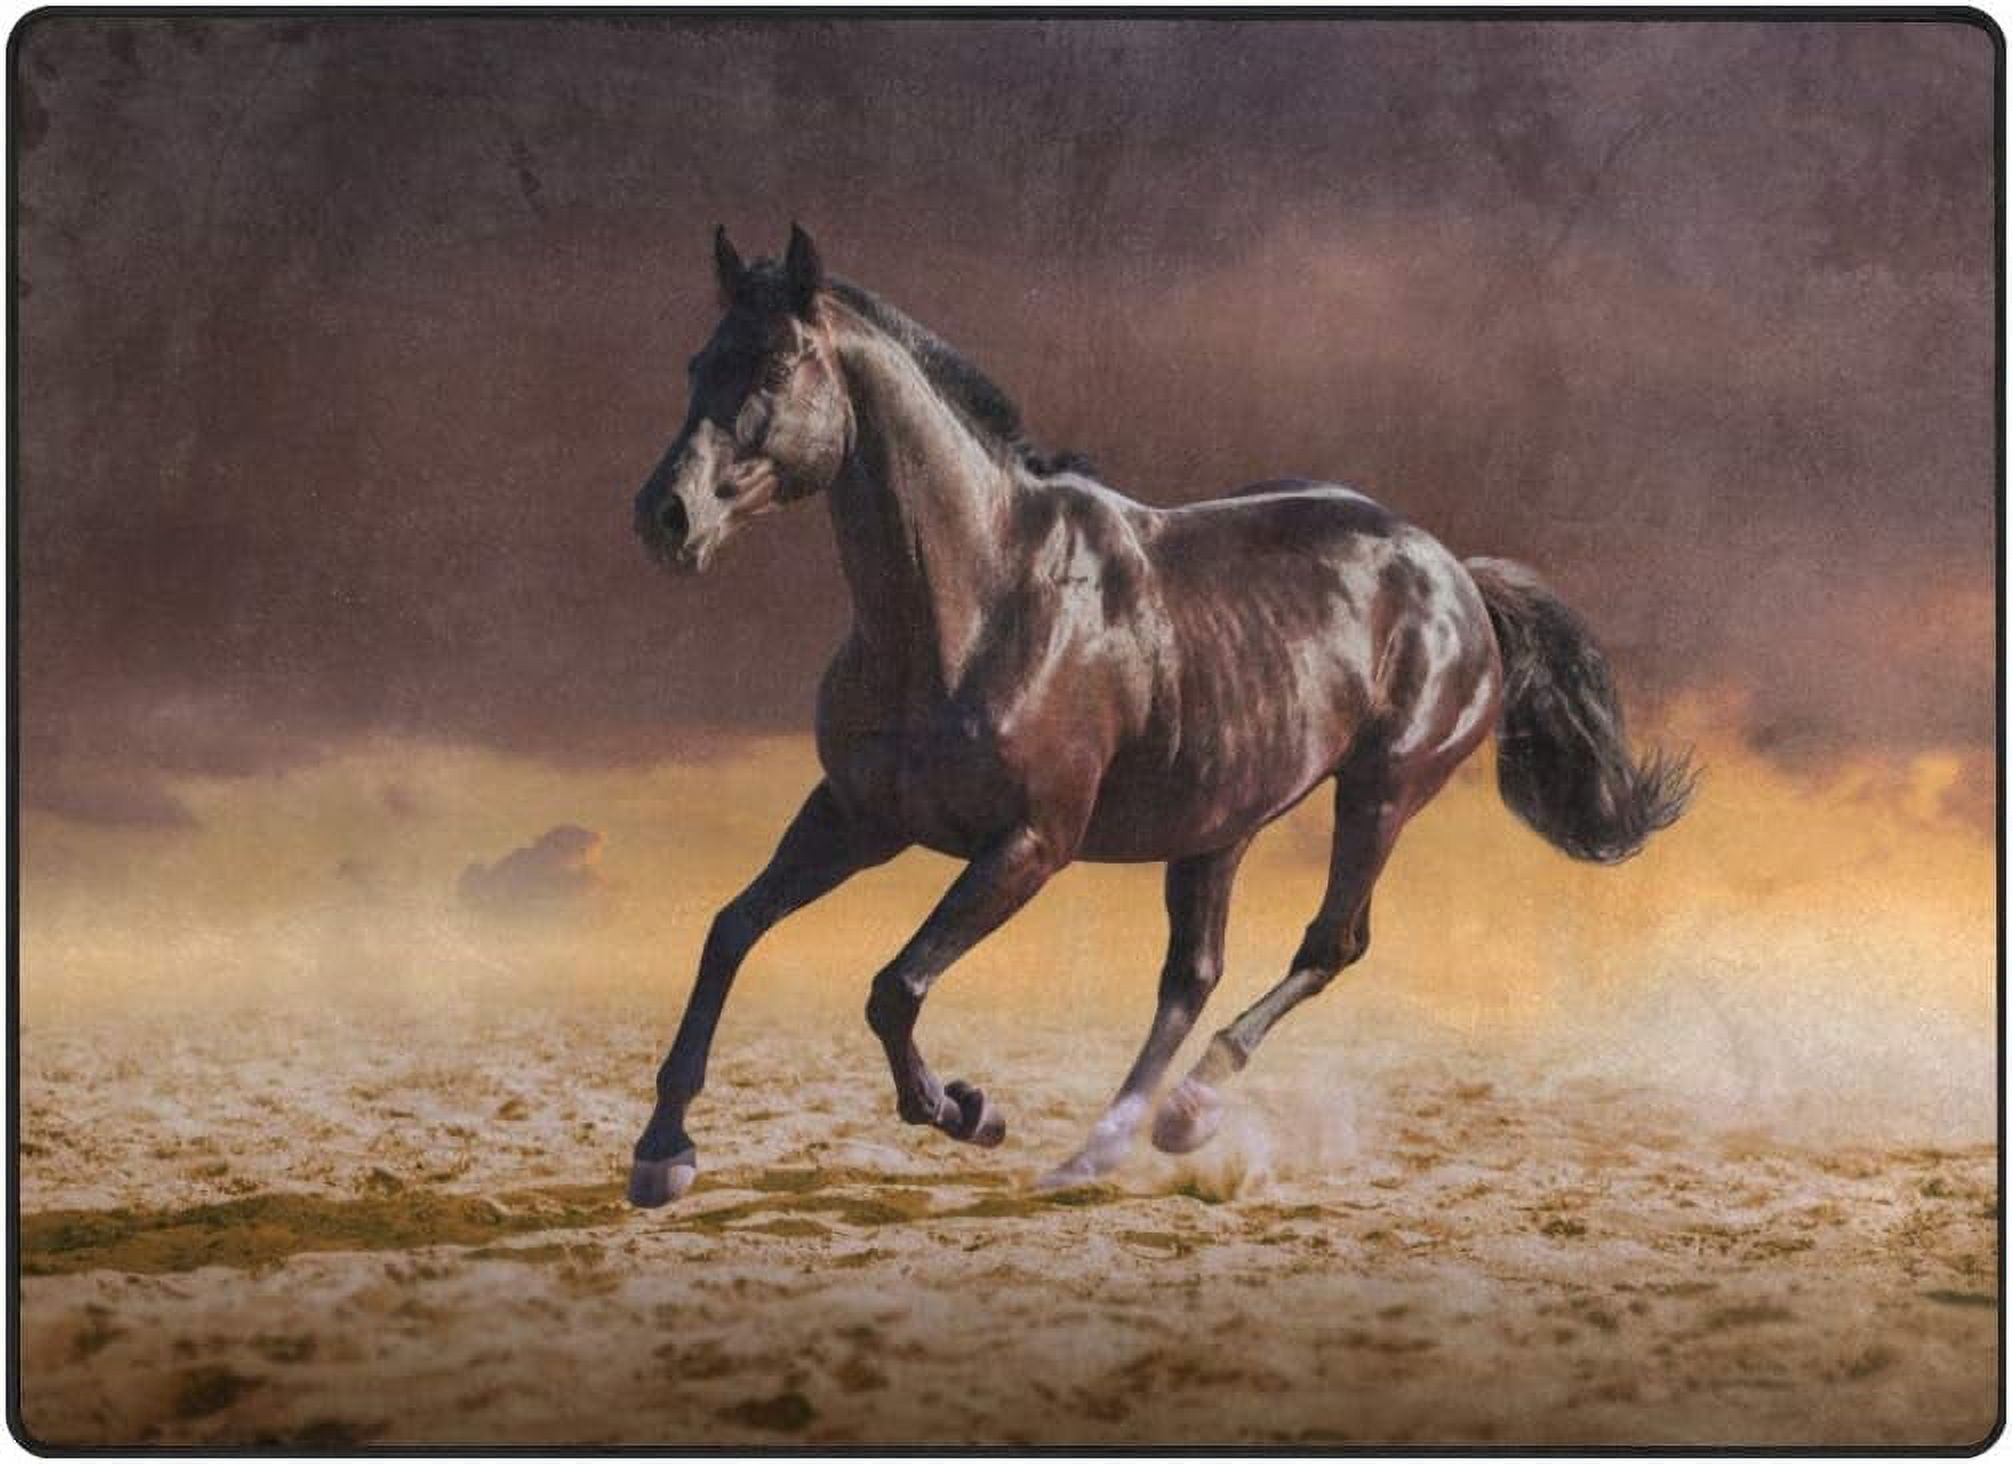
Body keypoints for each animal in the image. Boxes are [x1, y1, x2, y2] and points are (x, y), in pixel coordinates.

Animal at [626, 225, 1693, 1207]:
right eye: (696, 363)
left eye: (774, 364)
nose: (667, 516)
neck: (978, 600)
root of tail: (1456, 576)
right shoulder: (859, 817)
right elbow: (730, 930)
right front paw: (662, 1153)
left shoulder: (1030, 844)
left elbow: (895, 988)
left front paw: (969, 1110)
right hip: (1219, 825)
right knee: (1192, 976)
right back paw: (1098, 1151)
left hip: (1380, 792)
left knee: (1327, 945)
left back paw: (1186, 1114)